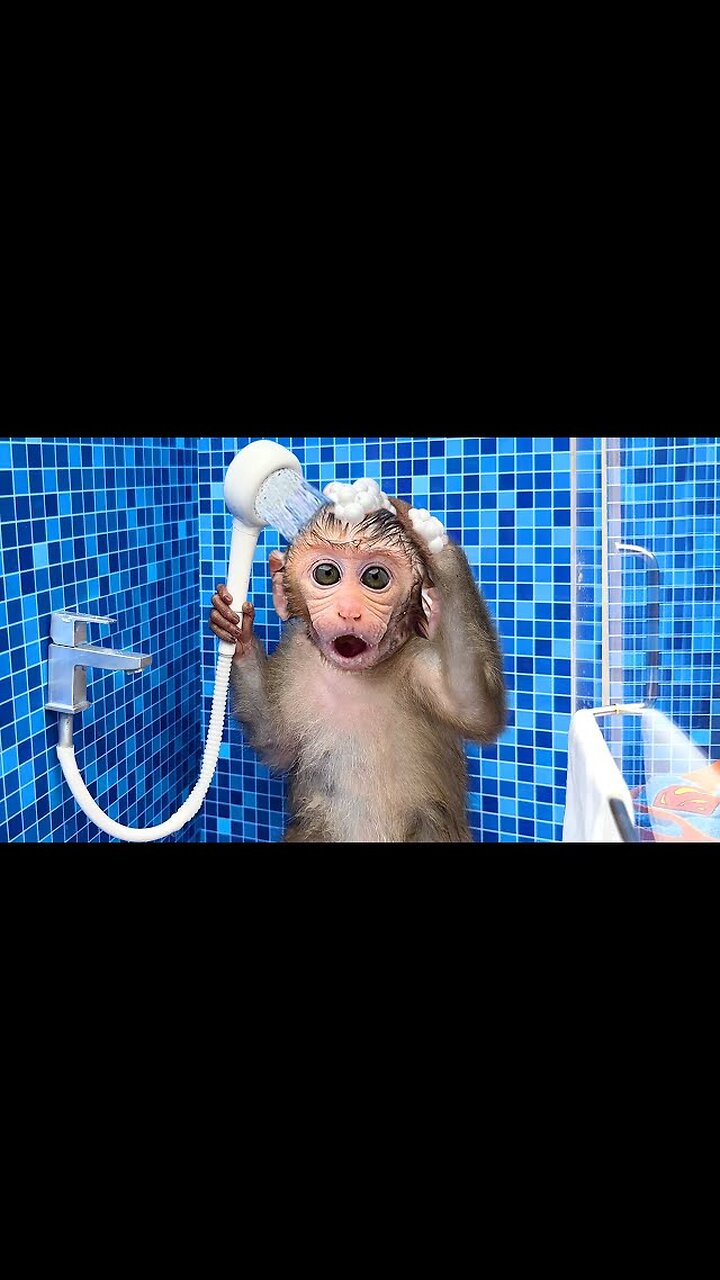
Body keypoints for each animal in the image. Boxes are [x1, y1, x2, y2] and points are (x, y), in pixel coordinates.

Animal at [209, 484, 506, 843]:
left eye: (375, 578)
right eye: (327, 574)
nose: (349, 611)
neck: (353, 675)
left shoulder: (418, 662)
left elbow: (471, 707)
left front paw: (437, 548)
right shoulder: (296, 653)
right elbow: (276, 741)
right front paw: (236, 631)